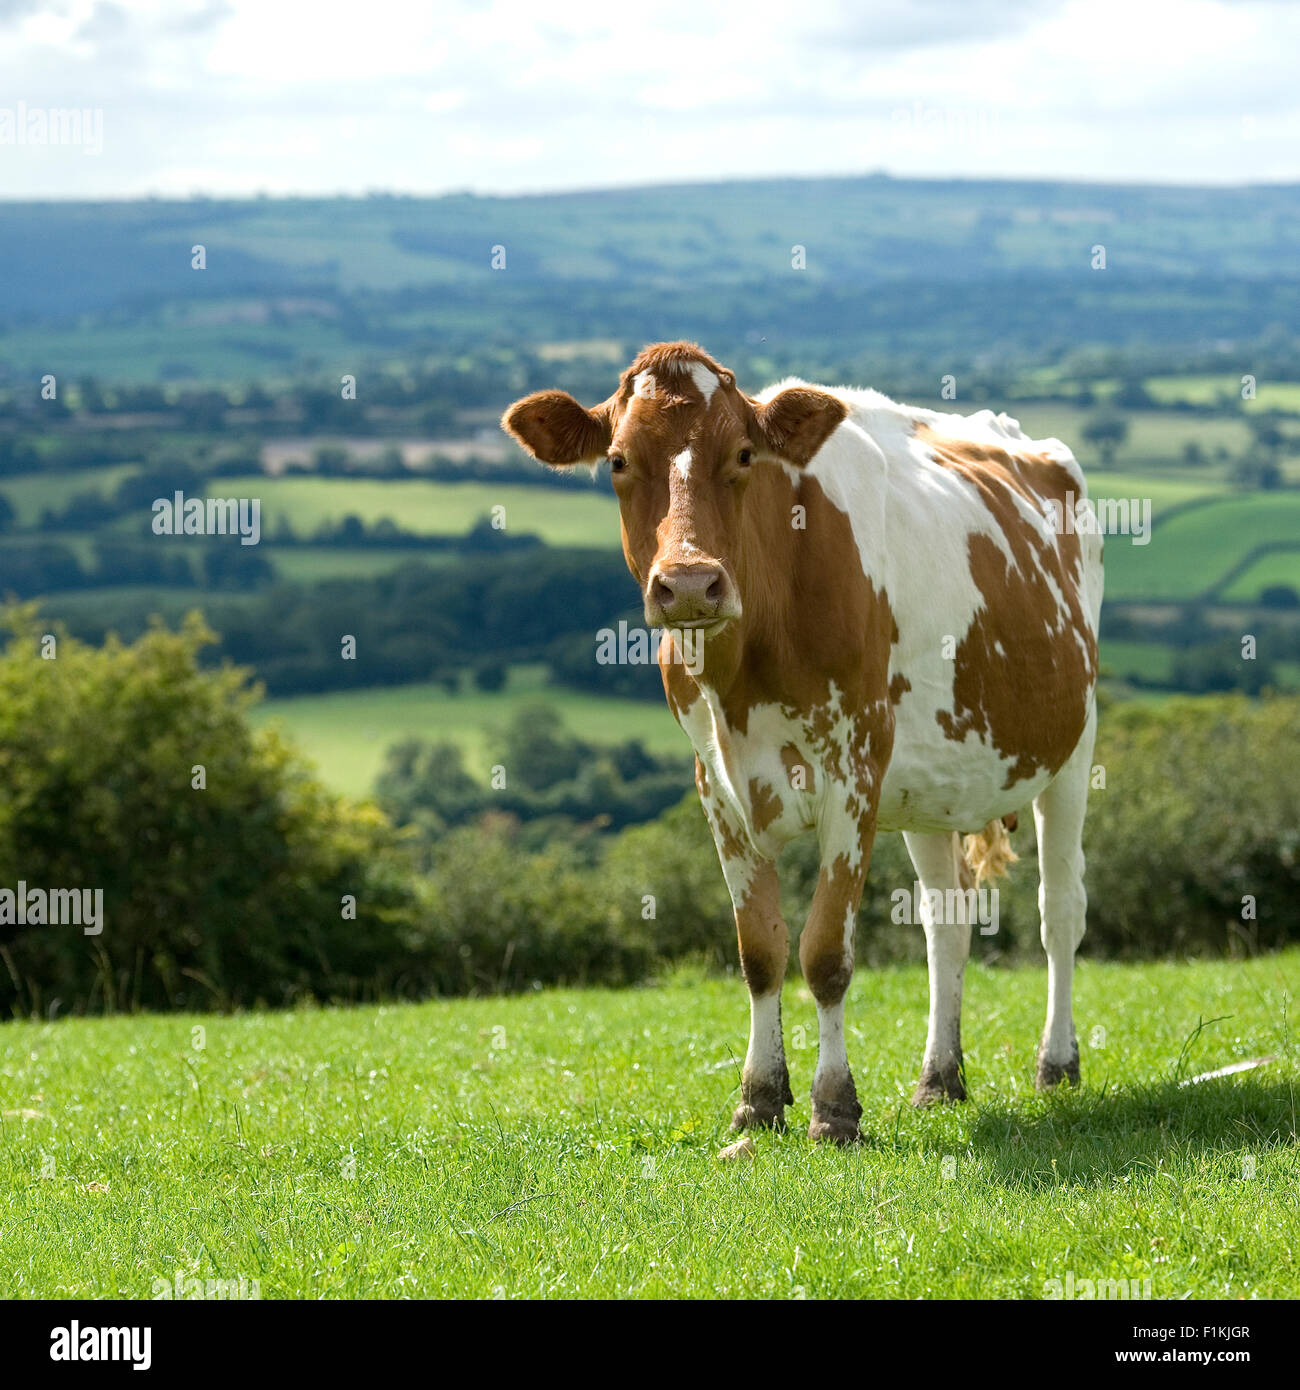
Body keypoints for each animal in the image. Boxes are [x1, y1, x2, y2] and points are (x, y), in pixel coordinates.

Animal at [503, 342, 1103, 1144]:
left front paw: (834, 1107)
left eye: (743, 454)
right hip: (932, 784)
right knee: (946, 923)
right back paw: (939, 1078)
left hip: (1072, 746)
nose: (688, 584)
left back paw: (1056, 1064)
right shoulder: (717, 785)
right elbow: (760, 952)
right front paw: (759, 1098)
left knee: (1060, 910)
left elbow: (825, 954)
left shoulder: (853, 770)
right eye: (621, 460)